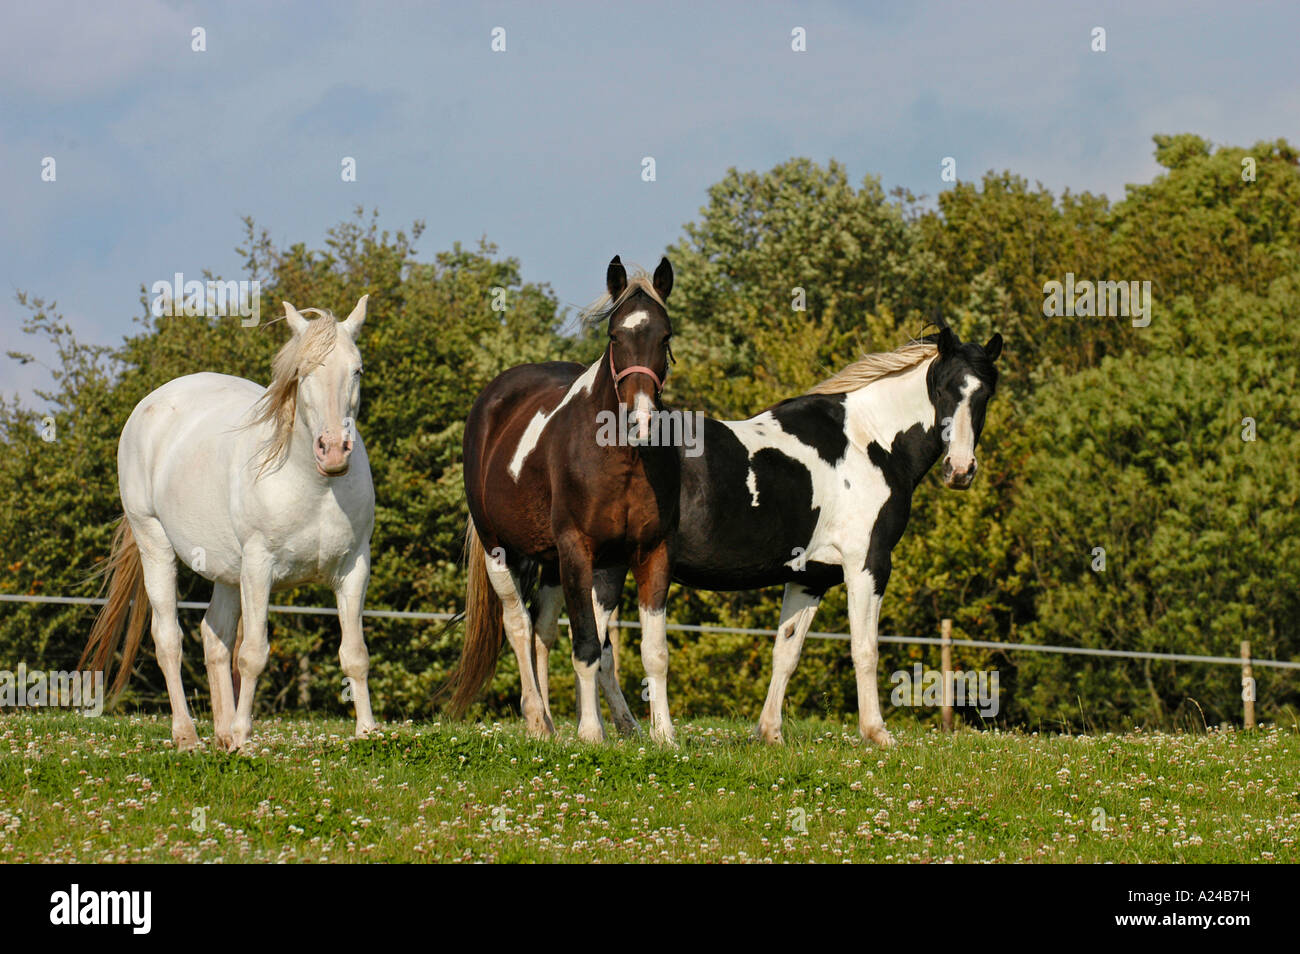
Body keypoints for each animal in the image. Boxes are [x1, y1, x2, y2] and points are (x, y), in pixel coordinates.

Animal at [80, 296, 378, 751]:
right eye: (302, 373)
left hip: (226, 571)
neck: (316, 484)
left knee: (212, 634)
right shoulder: (259, 567)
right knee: (169, 639)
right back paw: (188, 735)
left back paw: (220, 733)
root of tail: (151, 405)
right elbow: (252, 654)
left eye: (357, 370)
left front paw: (368, 732)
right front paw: (243, 736)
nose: (333, 450)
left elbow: (355, 654)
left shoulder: (353, 568)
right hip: (156, 544)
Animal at [445, 256, 679, 743]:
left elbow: (649, 650)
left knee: (543, 630)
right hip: (501, 549)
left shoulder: (644, 553)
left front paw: (663, 735)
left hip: (552, 562)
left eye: (664, 337)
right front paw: (591, 732)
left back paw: (556, 720)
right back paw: (537, 719)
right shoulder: (577, 550)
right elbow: (587, 644)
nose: (642, 419)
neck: (619, 456)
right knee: (518, 626)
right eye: (615, 336)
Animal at [519, 322, 1002, 747]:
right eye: (943, 389)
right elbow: (865, 649)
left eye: (985, 394)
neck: (870, 442)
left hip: (609, 571)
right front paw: (877, 733)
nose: (960, 470)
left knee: (593, 650)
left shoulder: (812, 577)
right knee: (575, 643)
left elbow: (785, 653)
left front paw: (770, 733)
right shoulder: (867, 565)